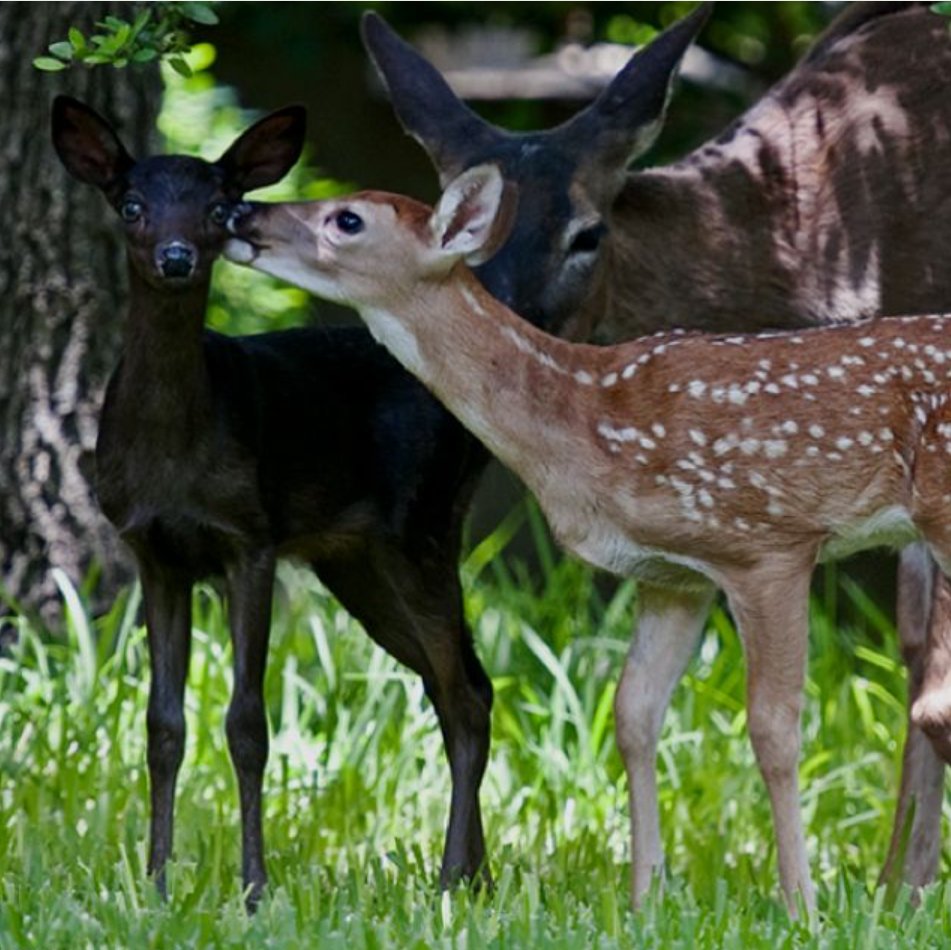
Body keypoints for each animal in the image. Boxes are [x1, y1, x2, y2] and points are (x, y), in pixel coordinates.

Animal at [51, 97, 499, 908]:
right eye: (131, 206)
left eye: (218, 207)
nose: (175, 258)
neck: (173, 456)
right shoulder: (152, 552)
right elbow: (161, 725)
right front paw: (156, 883)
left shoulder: (249, 538)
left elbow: (247, 724)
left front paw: (254, 888)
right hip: (355, 563)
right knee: (458, 684)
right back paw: (475, 875)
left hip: (423, 527)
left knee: (464, 696)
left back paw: (454, 879)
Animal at [225, 163, 951, 914]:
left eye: (348, 220)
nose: (241, 218)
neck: (585, 416)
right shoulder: (675, 576)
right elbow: (634, 716)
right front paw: (643, 898)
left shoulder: (765, 542)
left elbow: (772, 727)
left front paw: (800, 906)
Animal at [360, 1, 951, 893]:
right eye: (468, 233)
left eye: (587, 234)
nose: (508, 329)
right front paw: (891, 885)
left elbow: (926, 686)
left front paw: (900, 888)